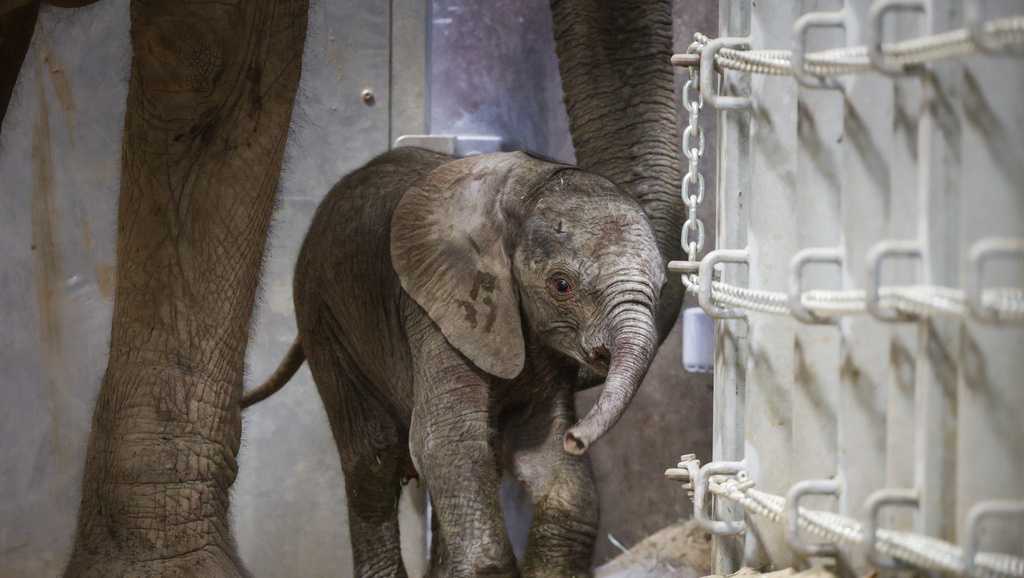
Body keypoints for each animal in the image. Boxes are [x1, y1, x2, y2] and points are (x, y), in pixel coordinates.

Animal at [242, 146, 666, 577]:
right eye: (561, 285)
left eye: (663, 284)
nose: (577, 439)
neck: (527, 184)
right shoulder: (438, 304)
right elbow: (443, 436)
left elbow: (540, 444)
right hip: (324, 316)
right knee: (372, 459)